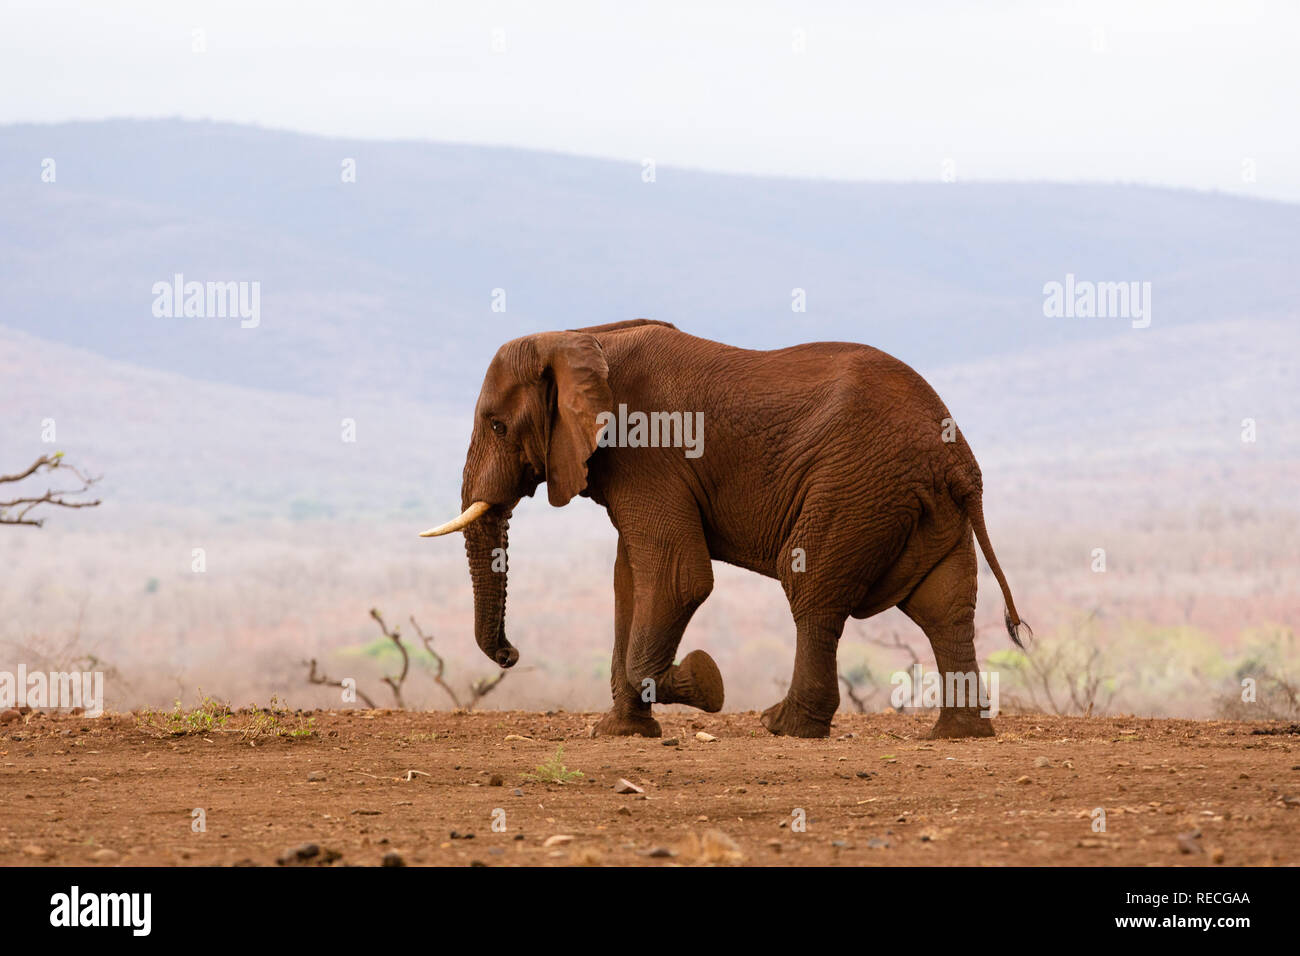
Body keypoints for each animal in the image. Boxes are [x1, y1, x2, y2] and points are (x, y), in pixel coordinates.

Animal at [421, 319, 1028, 739]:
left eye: (497, 425)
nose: (511, 655)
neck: (583, 338)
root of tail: (958, 457)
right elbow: (629, 582)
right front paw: (620, 732)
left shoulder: (649, 452)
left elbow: (677, 576)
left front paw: (705, 683)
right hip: (924, 505)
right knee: (945, 607)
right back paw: (958, 734)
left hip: (855, 485)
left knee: (812, 588)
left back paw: (784, 727)